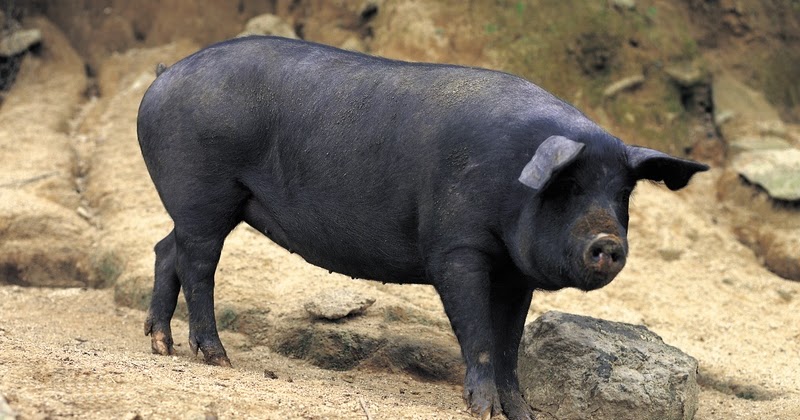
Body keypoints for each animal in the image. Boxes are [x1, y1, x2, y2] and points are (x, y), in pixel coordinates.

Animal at [137, 36, 708, 420]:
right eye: (566, 186)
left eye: (623, 194)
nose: (608, 241)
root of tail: (164, 74)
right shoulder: (456, 248)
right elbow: (478, 332)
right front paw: (481, 411)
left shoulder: (515, 272)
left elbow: (510, 342)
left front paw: (522, 414)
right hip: (203, 193)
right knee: (198, 263)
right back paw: (218, 360)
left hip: (200, 206)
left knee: (166, 248)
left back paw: (161, 346)